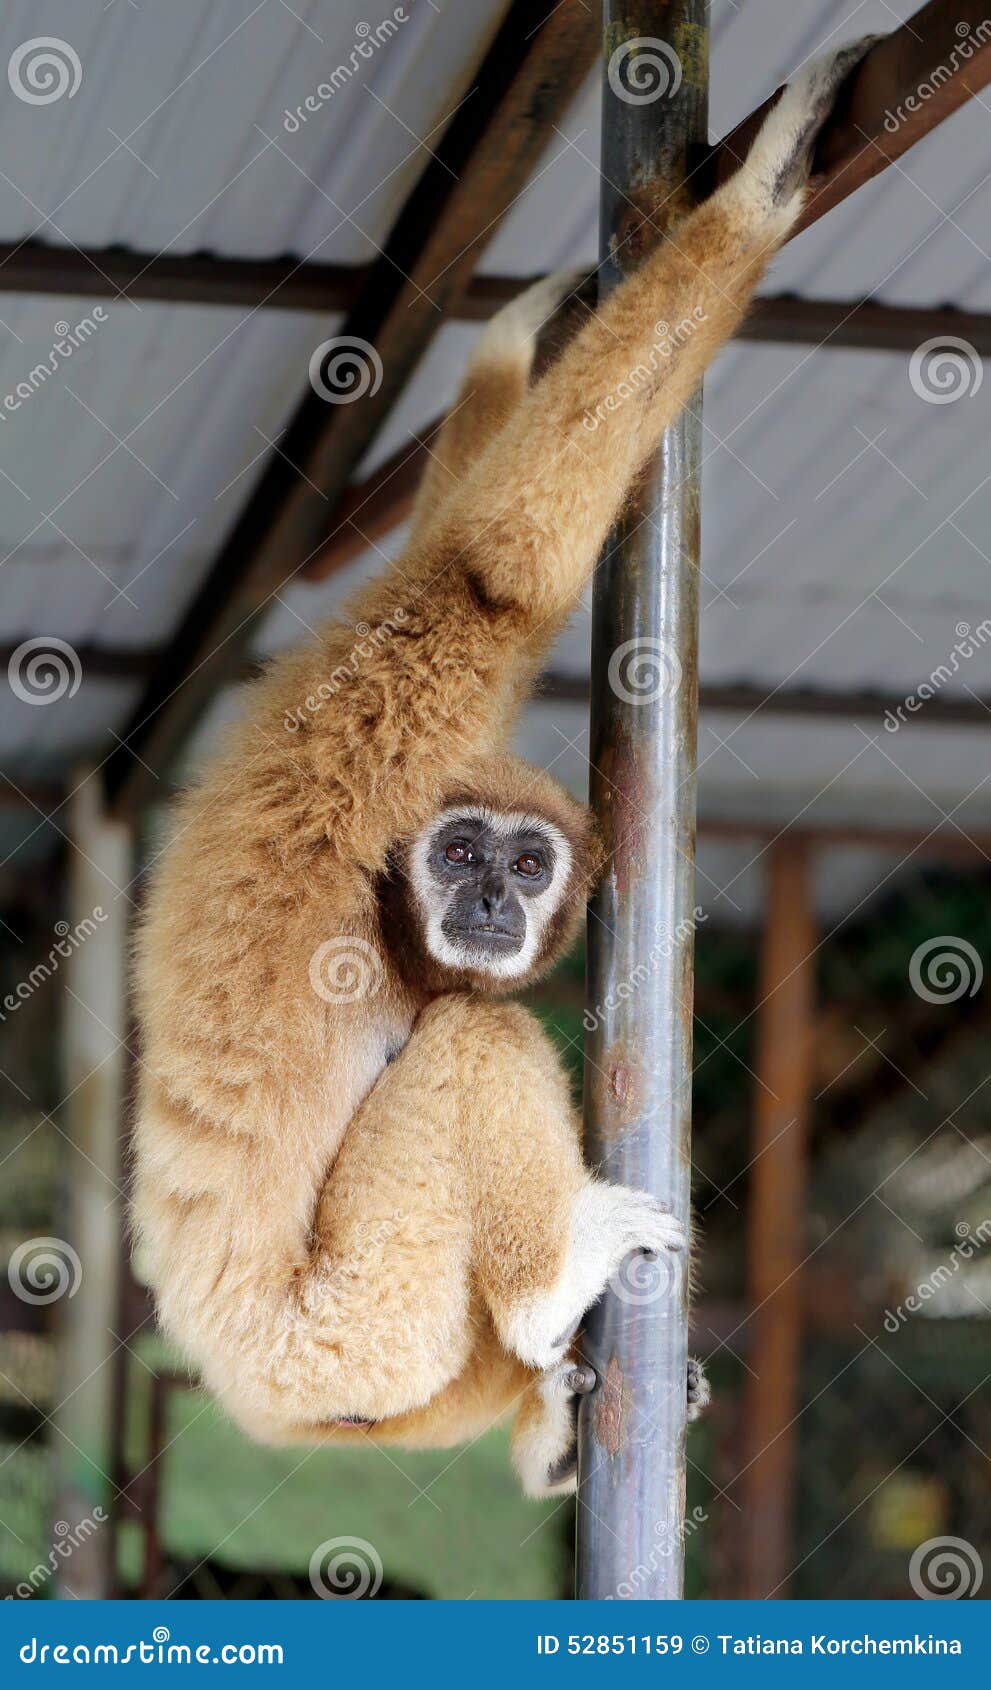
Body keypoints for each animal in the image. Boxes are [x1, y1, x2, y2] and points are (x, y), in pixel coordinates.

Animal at [132, 40, 873, 1497]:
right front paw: (753, 203)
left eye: (526, 865)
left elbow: (463, 528)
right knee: (480, 1037)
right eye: (464, 852)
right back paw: (548, 1293)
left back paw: (551, 1432)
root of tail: (243, 1384)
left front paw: (511, 339)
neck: (381, 924)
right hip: (362, 1329)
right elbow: (493, 574)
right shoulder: (348, 735)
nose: (486, 898)